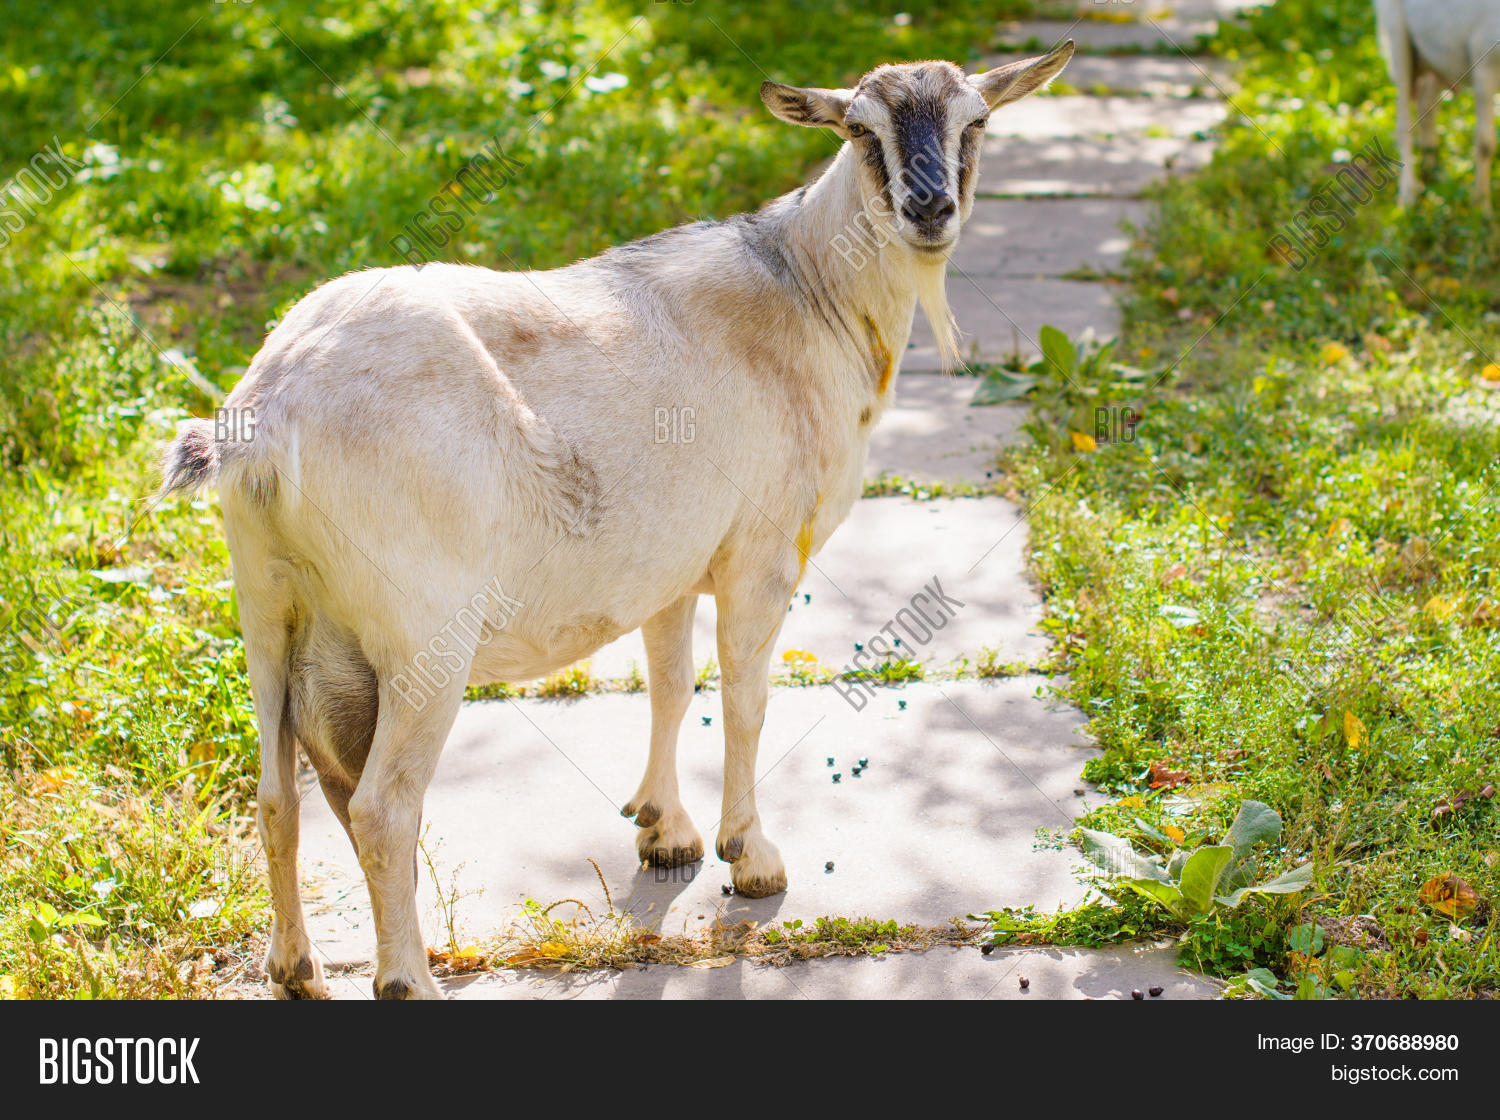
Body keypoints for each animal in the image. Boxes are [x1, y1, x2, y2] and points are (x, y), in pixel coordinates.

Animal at [159, 43, 1074, 1000]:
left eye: (976, 121)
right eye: (860, 129)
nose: (929, 208)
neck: (809, 292)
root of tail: (265, 418)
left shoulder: (671, 564)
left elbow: (671, 684)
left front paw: (663, 831)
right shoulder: (761, 555)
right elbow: (745, 699)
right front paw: (750, 856)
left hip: (267, 611)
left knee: (277, 793)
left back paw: (297, 969)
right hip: (422, 637)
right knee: (380, 807)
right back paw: (408, 977)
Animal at [1375, 0, 1500, 211]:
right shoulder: (1484, 61)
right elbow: (1485, 143)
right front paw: (1482, 209)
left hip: (1434, 58)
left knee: (1425, 105)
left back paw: (1432, 173)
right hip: (1395, 34)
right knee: (1403, 122)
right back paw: (1407, 196)